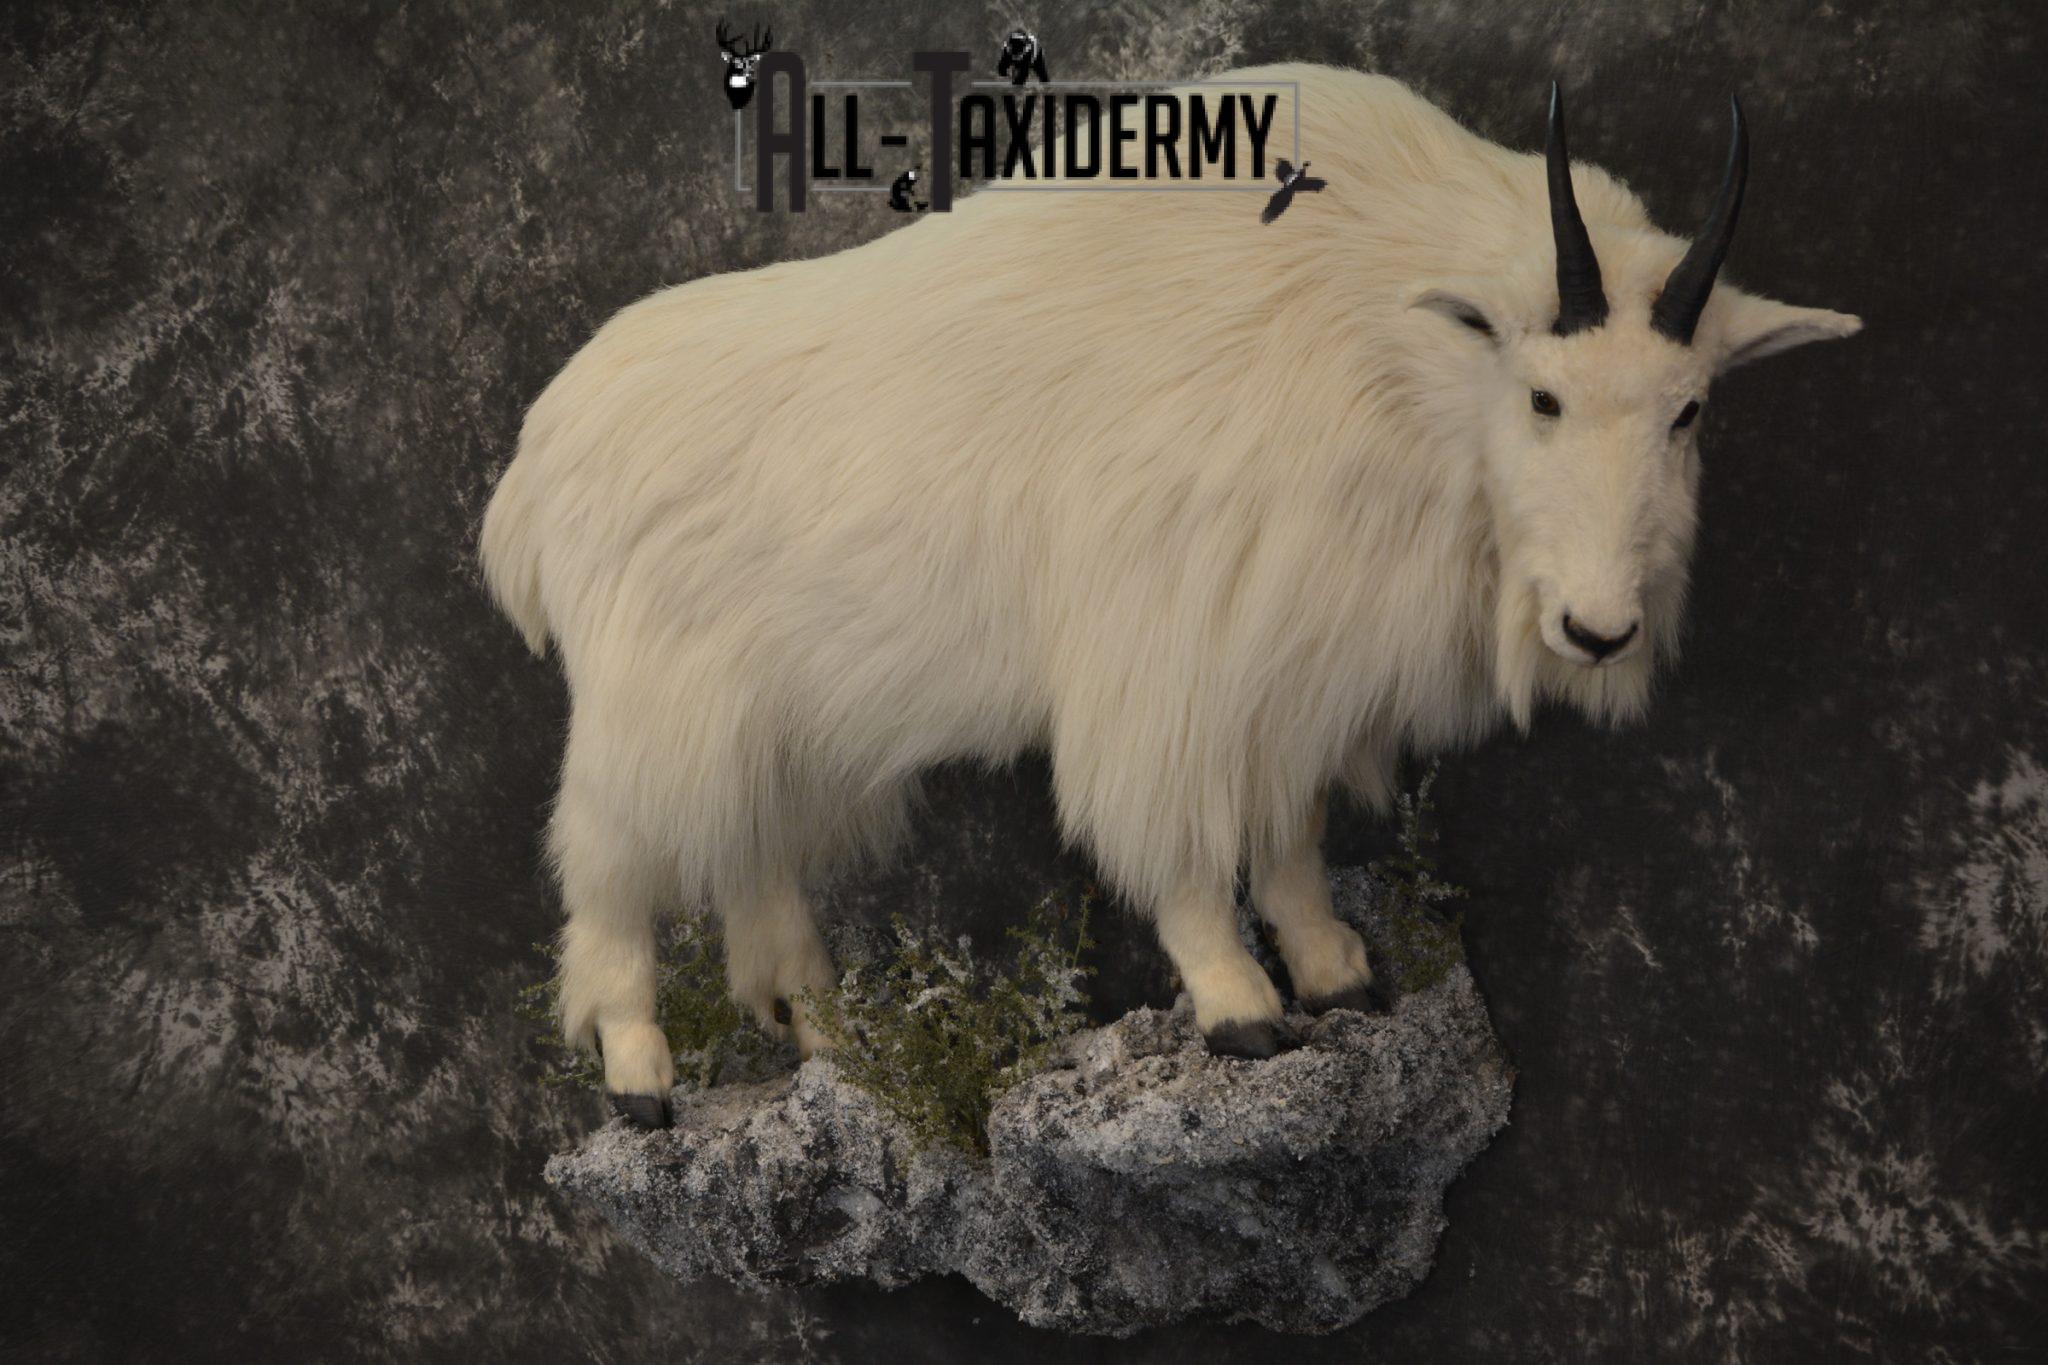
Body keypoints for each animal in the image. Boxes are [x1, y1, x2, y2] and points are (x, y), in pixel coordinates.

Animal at [481, 65, 1859, 1127]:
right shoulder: (1171, 658)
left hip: (776, 725)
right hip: (648, 712)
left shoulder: (1294, 666)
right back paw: (640, 1076)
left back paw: (830, 1035)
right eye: (1543, 397)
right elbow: (1183, 845)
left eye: (1688, 410)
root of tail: (532, 477)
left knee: (754, 865)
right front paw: (1241, 1010)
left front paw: (1335, 974)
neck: (1386, 349)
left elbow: (1289, 832)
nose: (1597, 628)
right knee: (605, 877)